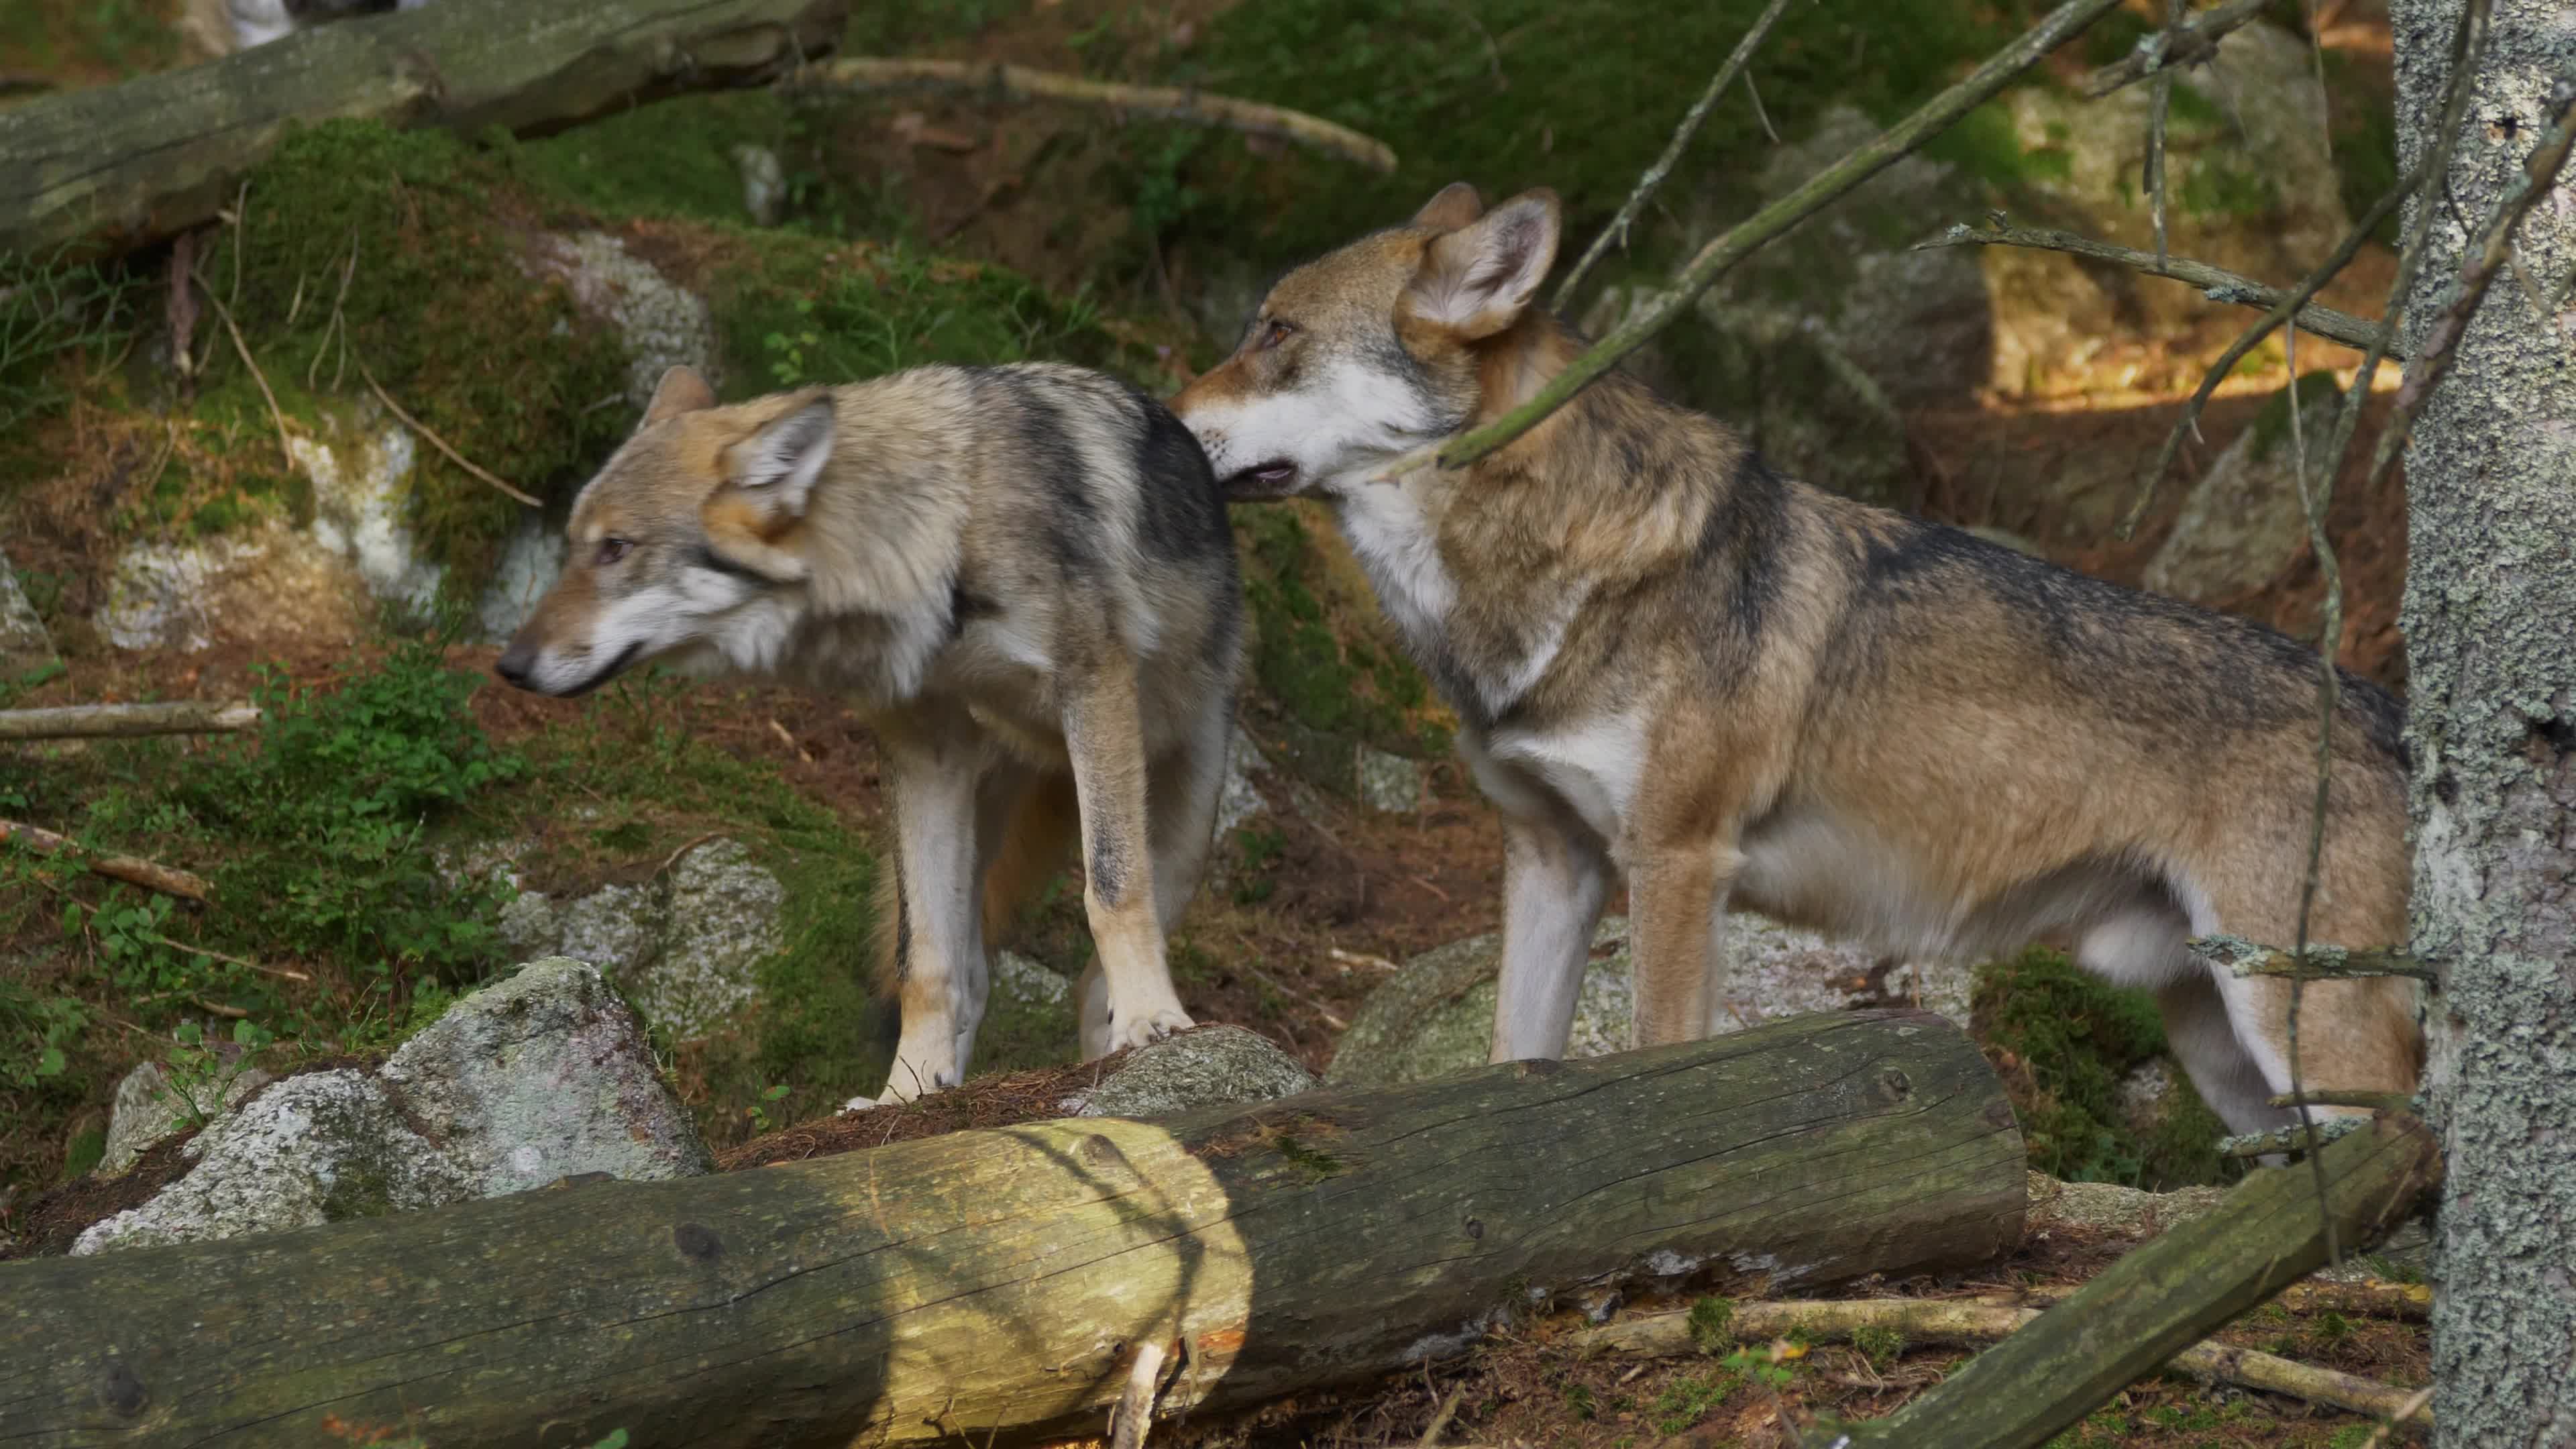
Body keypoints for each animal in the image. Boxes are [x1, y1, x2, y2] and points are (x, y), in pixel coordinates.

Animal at [494, 361, 1243, 1107]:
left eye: (616, 549)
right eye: (574, 549)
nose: (511, 667)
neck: (944, 534)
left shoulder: (1092, 688)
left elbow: (1111, 889)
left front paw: (1149, 1022)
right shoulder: (923, 751)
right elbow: (923, 960)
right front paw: (906, 1091)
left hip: (1180, 826)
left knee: (1095, 971)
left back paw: (1125, 1041)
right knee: (973, 970)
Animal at [1170, 181, 2421, 1135]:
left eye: (1274, 331)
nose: (1160, 420)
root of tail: (2394, 713)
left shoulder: (1680, 863)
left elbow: (1656, 1057)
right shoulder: (1552, 860)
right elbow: (1511, 1058)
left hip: (2300, 1027)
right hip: (2226, 1049)